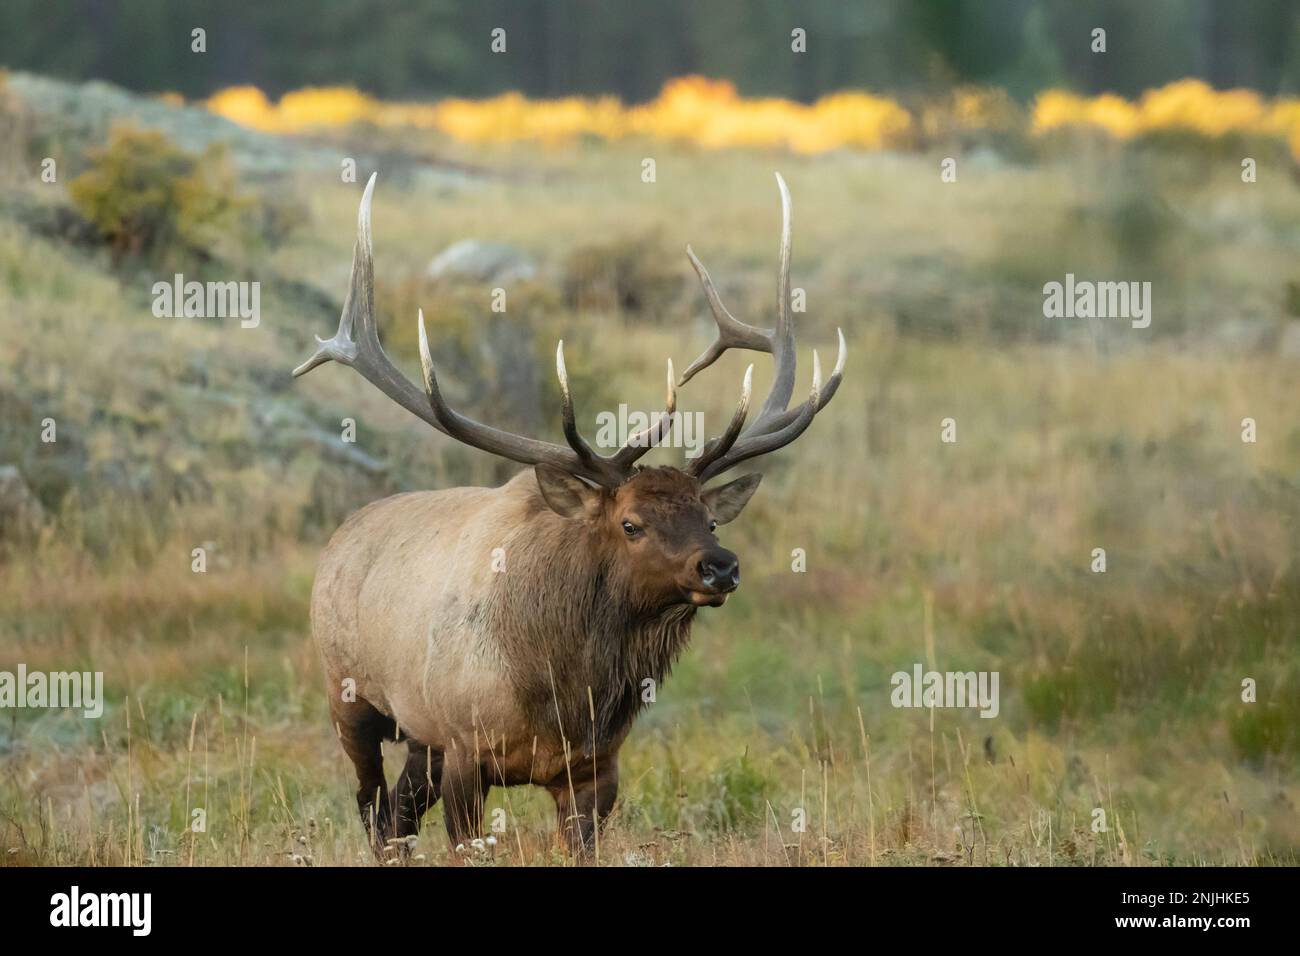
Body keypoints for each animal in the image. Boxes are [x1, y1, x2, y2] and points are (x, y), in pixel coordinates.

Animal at [293, 171, 845, 859]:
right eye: (630, 524)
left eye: (711, 520)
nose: (720, 567)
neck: (561, 694)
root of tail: (341, 535)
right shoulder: (466, 748)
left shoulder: (596, 767)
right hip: (352, 697)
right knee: (373, 809)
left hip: (422, 739)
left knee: (397, 812)